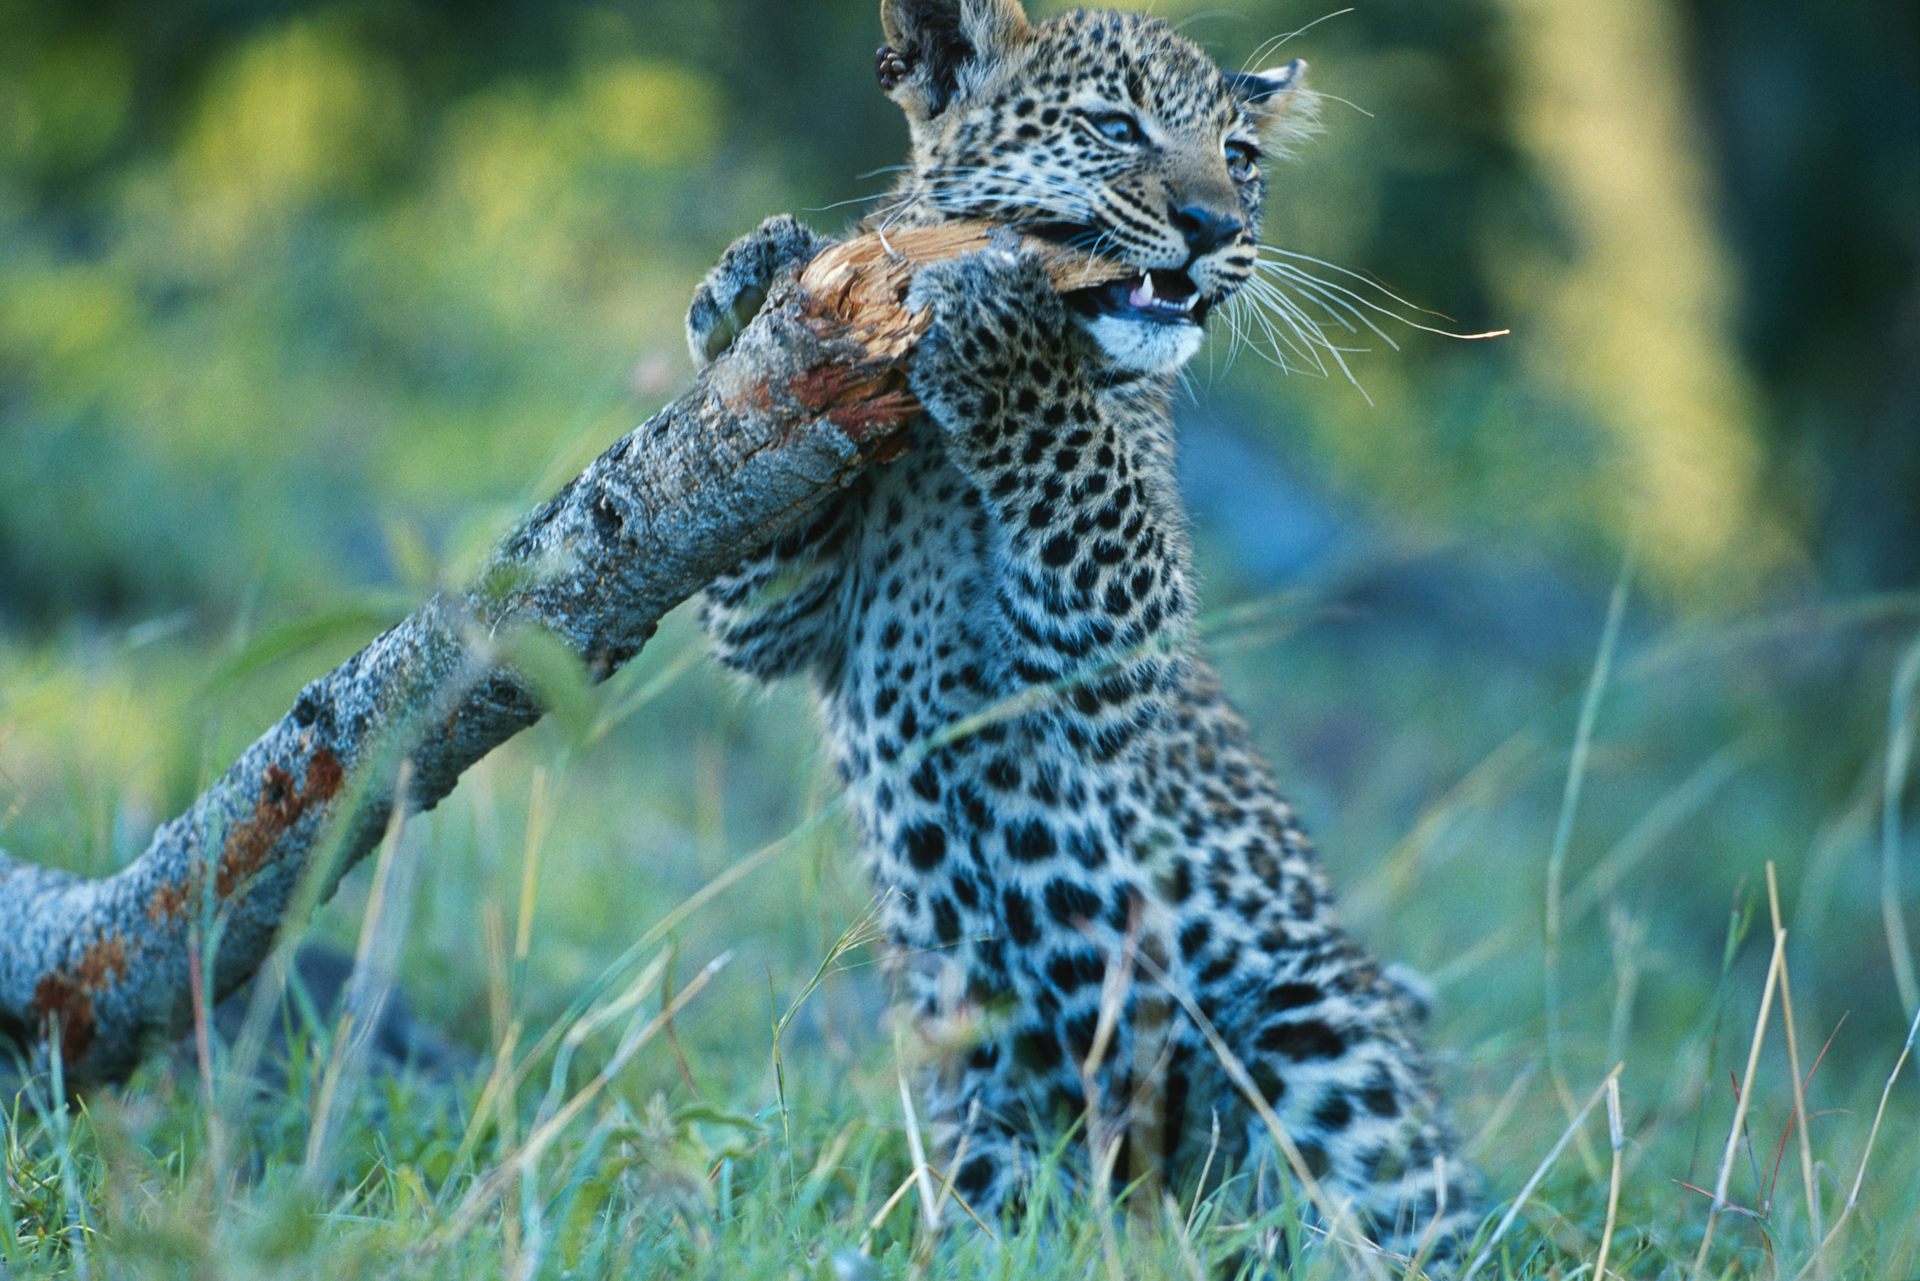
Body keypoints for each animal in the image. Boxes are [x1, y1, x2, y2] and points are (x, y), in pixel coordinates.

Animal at [683, 0, 1482, 1268]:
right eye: (1116, 126)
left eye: (1239, 158)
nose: (1214, 227)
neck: (931, 454)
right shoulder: (789, 613)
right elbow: (749, 577)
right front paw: (749, 285)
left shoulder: (1109, 636)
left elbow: (1077, 465)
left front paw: (1003, 336)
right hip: (986, 1087)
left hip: (1317, 1031)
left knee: (1410, 1213)